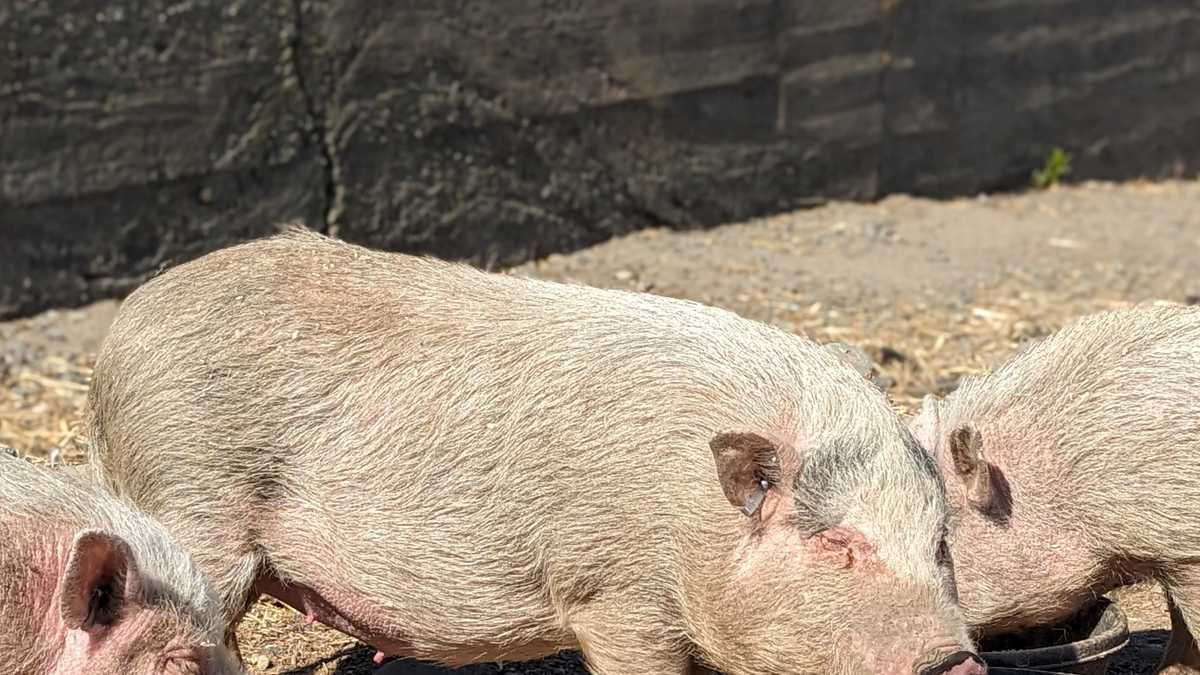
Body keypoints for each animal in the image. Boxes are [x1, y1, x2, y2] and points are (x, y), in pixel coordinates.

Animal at [86, 226, 984, 674]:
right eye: (840, 544)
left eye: (939, 541)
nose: (958, 663)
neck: (690, 520)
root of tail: (123, 330)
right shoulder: (613, 594)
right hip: (192, 504)